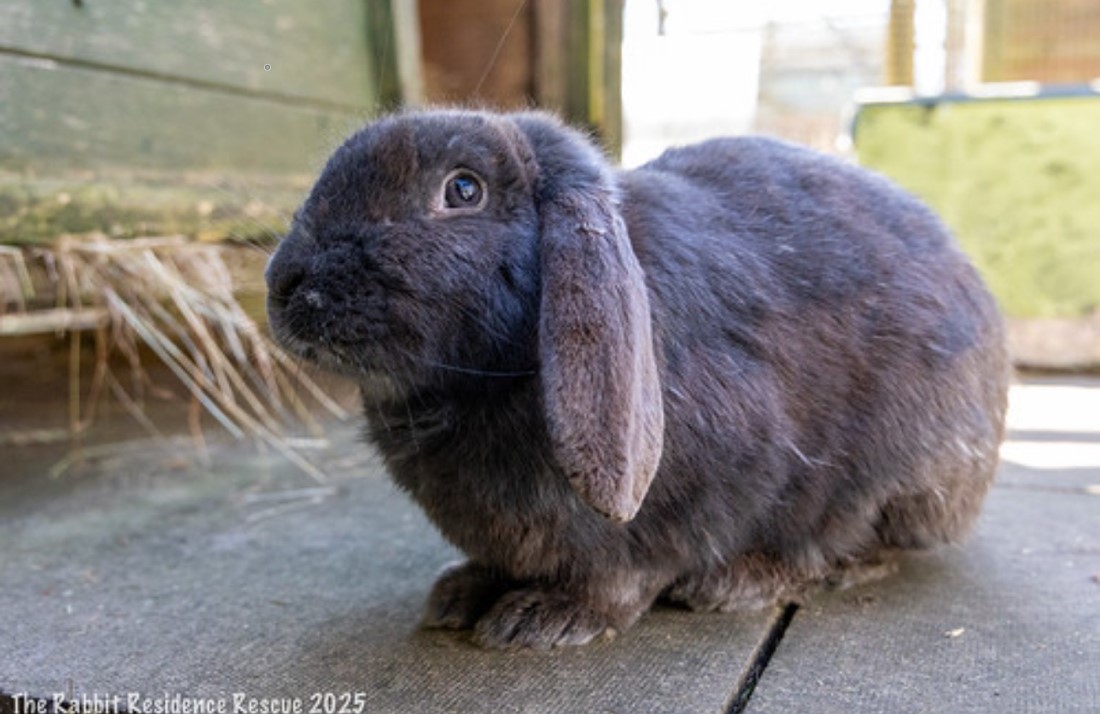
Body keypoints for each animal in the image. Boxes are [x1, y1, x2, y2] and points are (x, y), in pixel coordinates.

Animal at [264, 109, 1009, 649]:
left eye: (463, 189)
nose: (285, 284)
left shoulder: (694, 495)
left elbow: (629, 571)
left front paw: (544, 619)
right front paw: (460, 592)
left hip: (891, 477)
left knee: (854, 544)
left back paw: (738, 583)